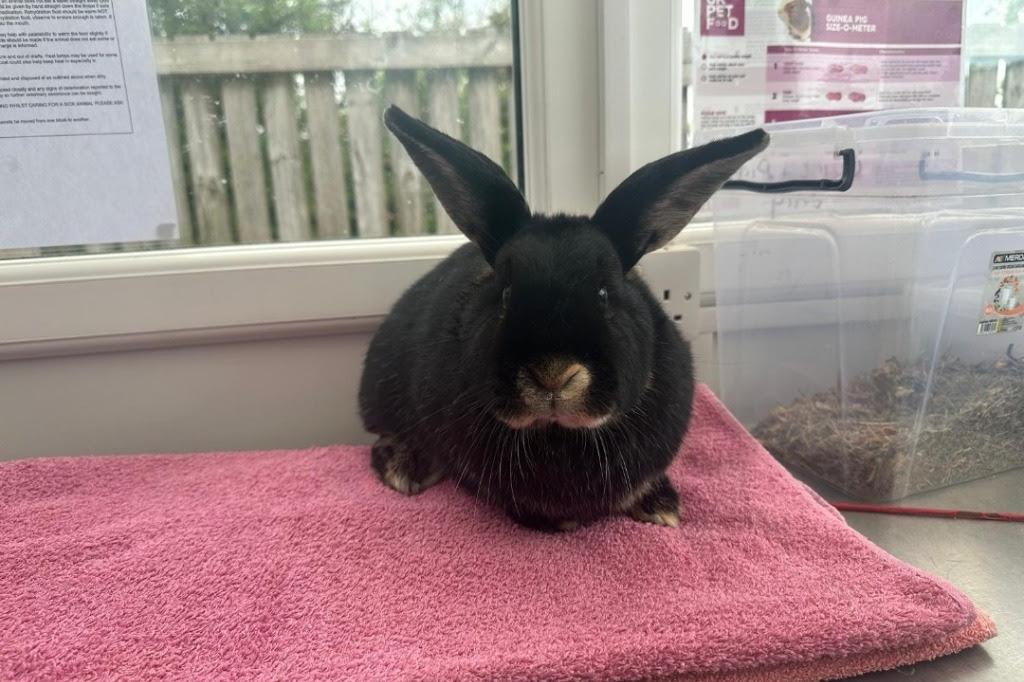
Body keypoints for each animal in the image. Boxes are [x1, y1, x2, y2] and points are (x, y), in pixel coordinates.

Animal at [359, 105, 768, 531]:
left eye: (604, 294)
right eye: (505, 294)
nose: (553, 375)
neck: (558, 434)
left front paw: (662, 507)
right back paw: (405, 466)